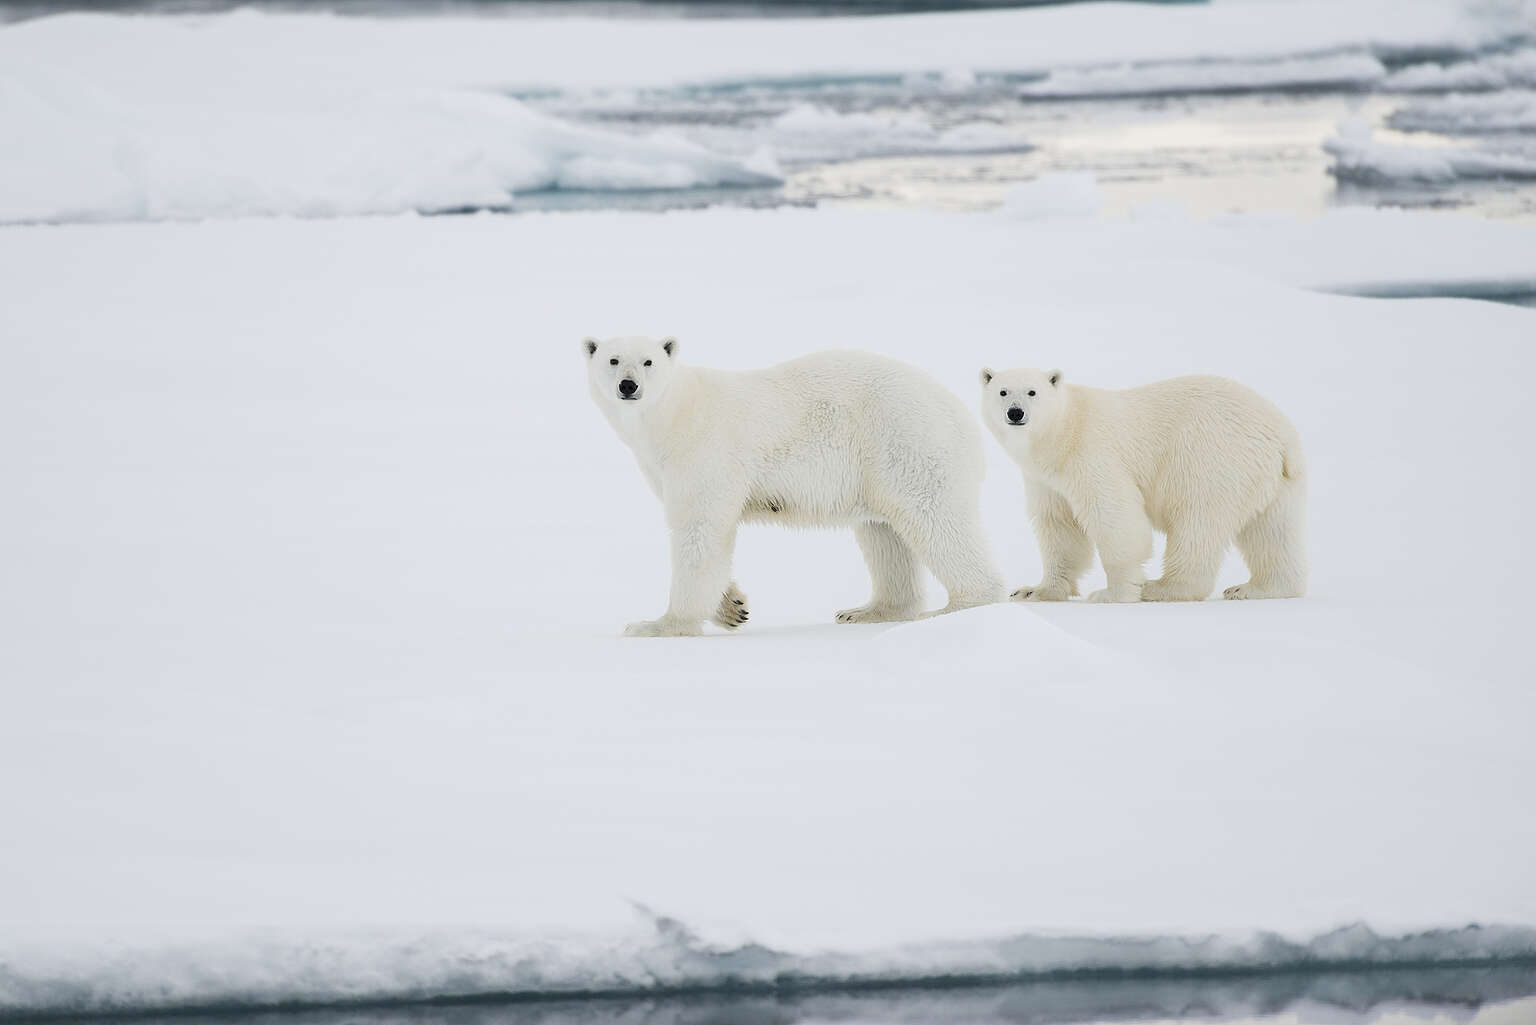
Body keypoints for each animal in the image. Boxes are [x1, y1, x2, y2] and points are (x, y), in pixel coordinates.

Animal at [584, 336, 1006, 636]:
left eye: (648, 361)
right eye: (612, 359)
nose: (628, 385)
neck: (674, 414)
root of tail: (962, 414)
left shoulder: (704, 450)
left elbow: (700, 530)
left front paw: (659, 625)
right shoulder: (661, 466)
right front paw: (733, 607)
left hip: (907, 443)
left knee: (935, 519)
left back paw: (960, 605)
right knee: (883, 534)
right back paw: (869, 610)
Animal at [979, 368, 1306, 603]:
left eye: (1032, 391)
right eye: (1002, 391)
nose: (1015, 412)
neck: (1062, 433)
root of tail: (1282, 435)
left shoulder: (1091, 453)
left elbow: (1115, 516)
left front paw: (1113, 593)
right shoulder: (1046, 479)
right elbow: (1060, 527)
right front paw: (1034, 590)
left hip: (1212, 460)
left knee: (1197, 522)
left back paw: (1162, 587)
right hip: (1274, 481)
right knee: (1270, 532)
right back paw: (1257, 588)